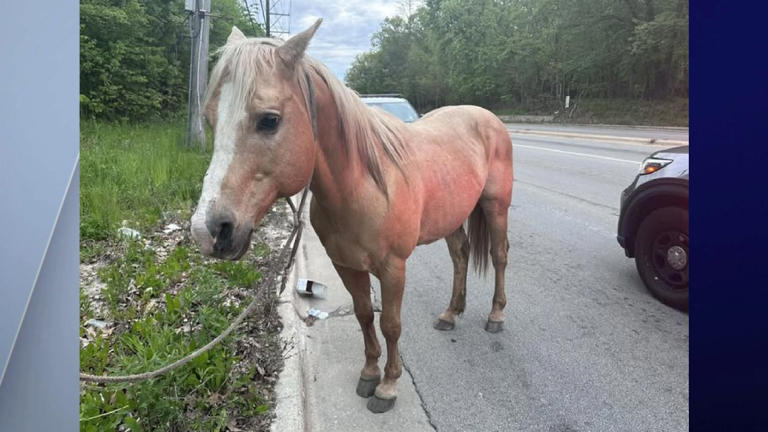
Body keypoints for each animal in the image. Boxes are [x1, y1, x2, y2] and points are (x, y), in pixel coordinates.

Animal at [190, 19, 514, 413]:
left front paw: (388, 386)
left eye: (269, 120)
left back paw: (495, 315)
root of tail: (487, 117)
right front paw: (370, 373)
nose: (208, 231)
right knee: (461, 256)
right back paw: (451, 314)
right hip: (452, 216)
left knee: (499, 256)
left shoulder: (393, 269)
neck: (364, 187)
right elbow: (363, 315)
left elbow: (391, 324)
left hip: (496, 207)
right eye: (210, 119)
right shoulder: (346, 265)